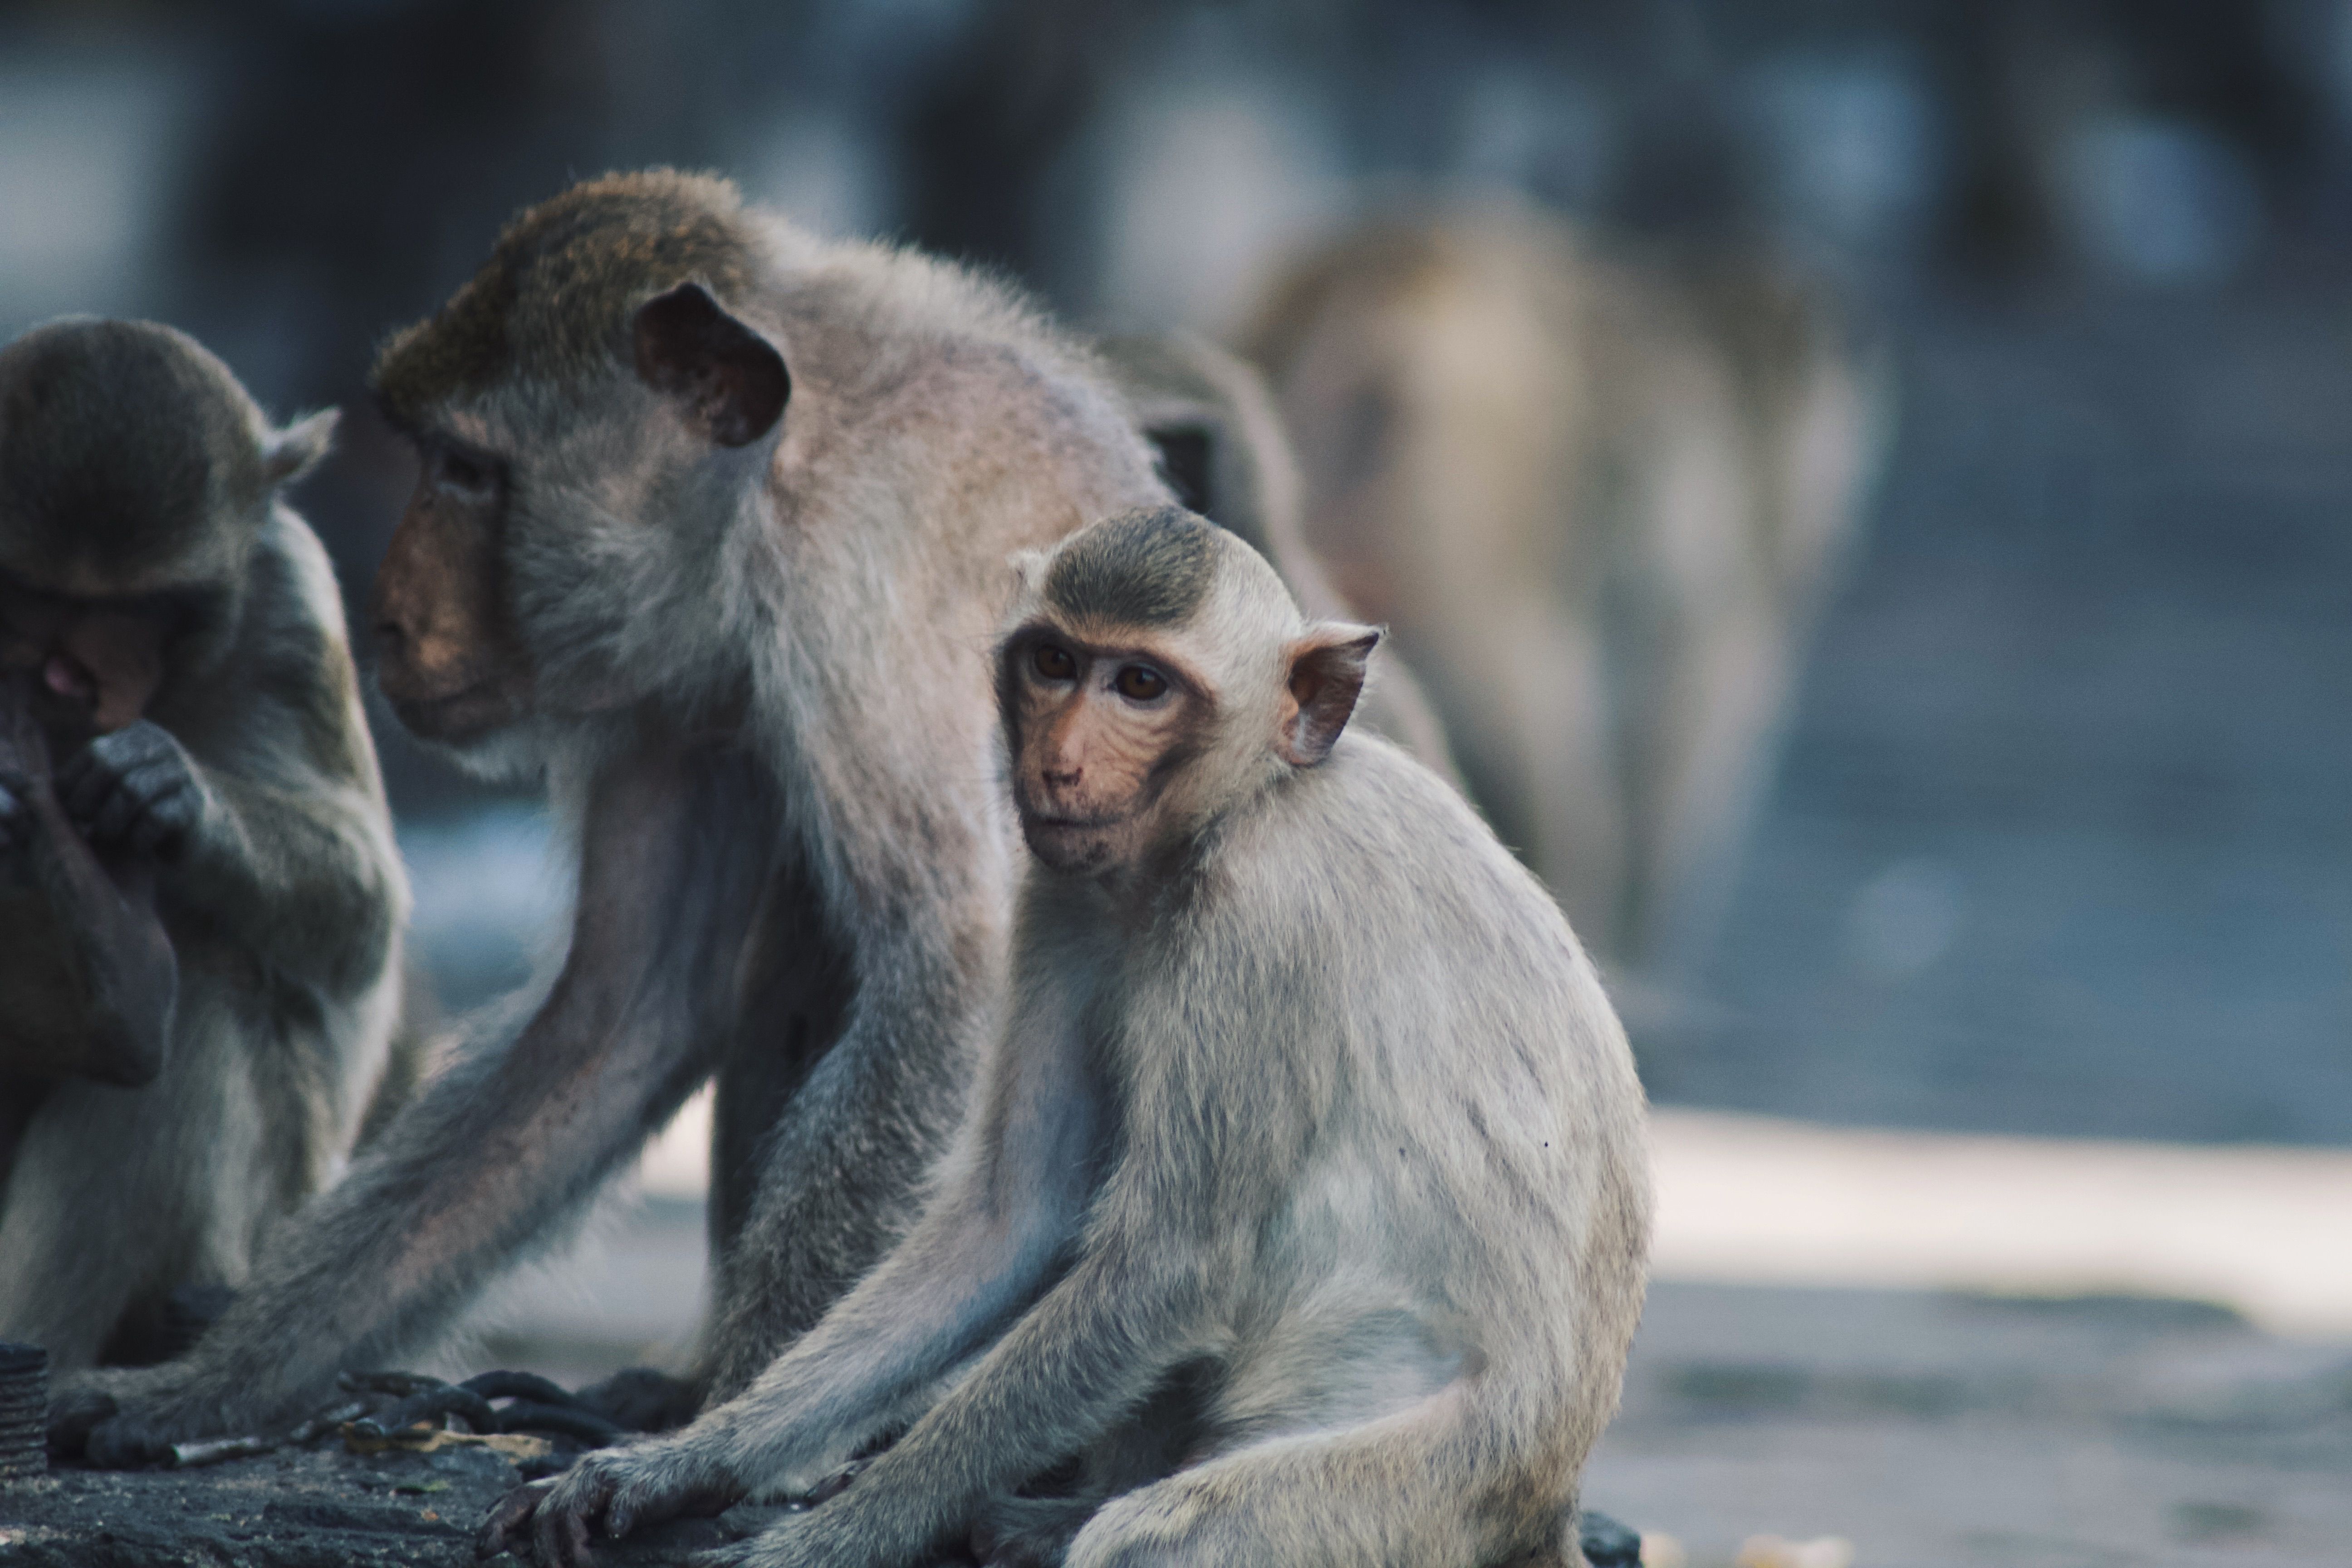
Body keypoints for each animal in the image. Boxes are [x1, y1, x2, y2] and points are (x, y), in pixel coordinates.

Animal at [0, 317, 410, 1372]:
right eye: (33, 594)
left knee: (217, 989)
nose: (69, 680)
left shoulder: (291, 606)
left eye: (151, 608)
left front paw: (168, 793)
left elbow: (364, 912)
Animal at [481, 505, 1651, 1568]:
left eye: (1141, 686)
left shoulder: (1259, 915)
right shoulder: (1059, 895)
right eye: (1054, 663)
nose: (1061, 762)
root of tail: (1549, 1496)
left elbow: (1165, 1270)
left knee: (1155, 1536)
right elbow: (1015, 1217)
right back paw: (1047, 1516)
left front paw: (831, 1538)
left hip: (1419, 1495)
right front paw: (680, 1463)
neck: (1239, 808)